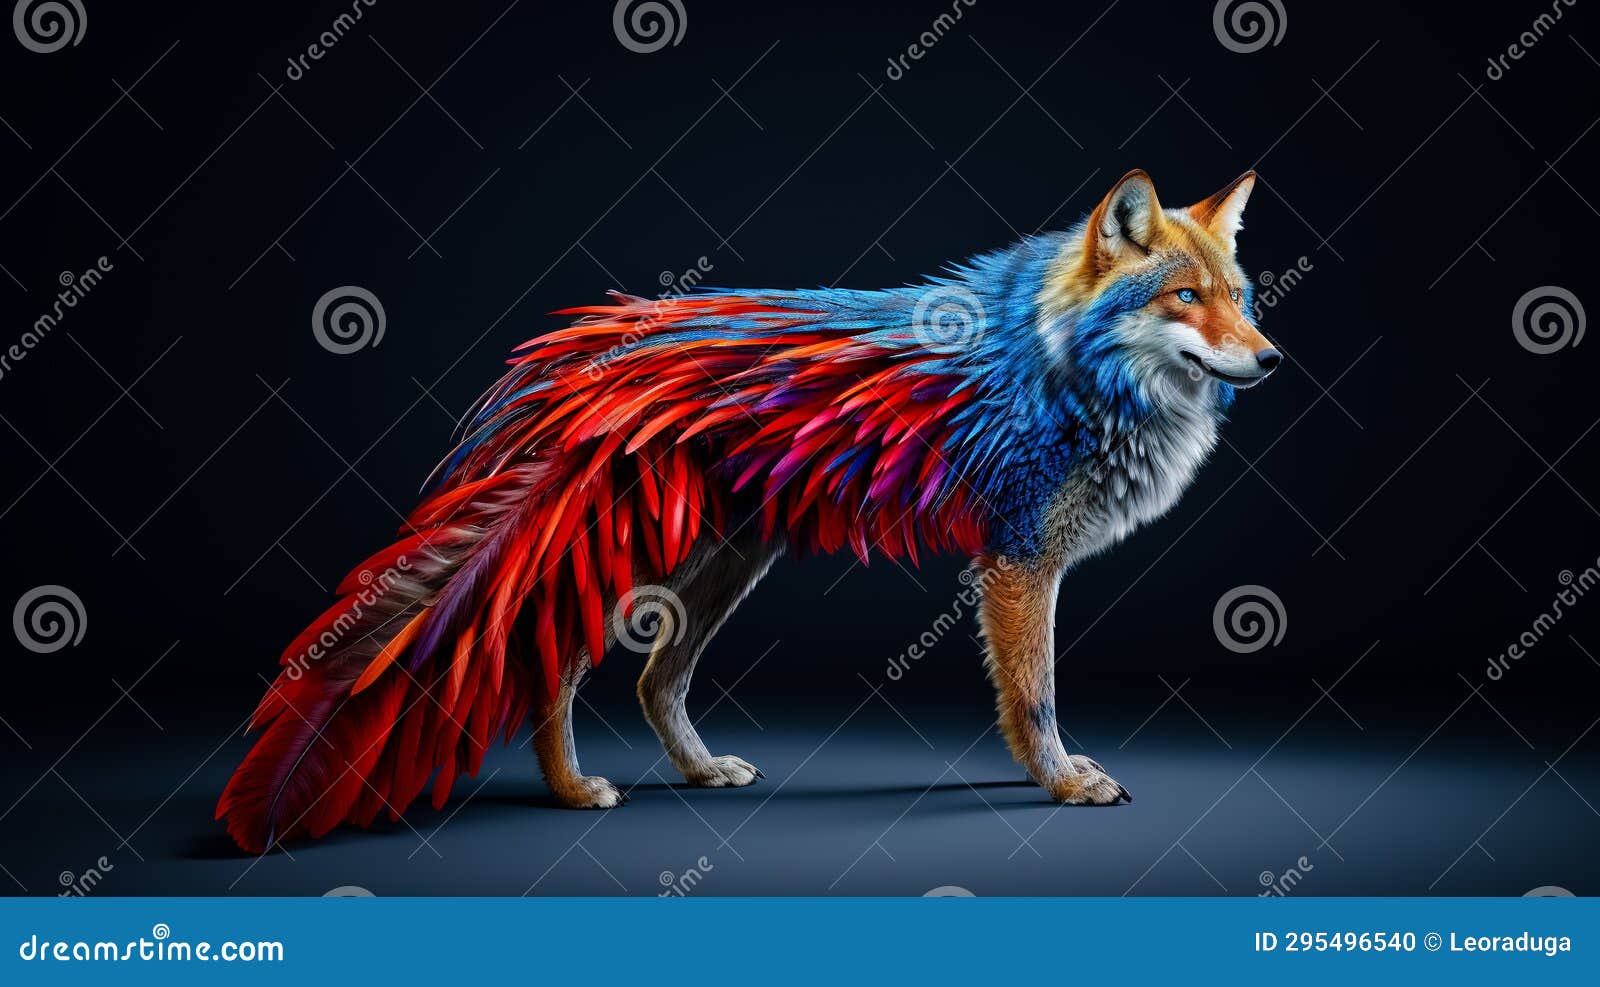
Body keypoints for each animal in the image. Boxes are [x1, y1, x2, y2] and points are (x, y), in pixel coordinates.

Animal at [218, 170, 1280, 851]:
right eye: (1186, 298)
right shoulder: (1019, 560)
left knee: (653, 680)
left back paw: (695, 772)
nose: (1271, 359)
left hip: (723, 567)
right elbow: (1033, 699)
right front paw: (1059, 783)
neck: (1066, 371)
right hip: (629, 562)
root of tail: (585, 362)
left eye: (1240, 296)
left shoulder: (1022, 561)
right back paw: (571, 791)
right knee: (554, 667)